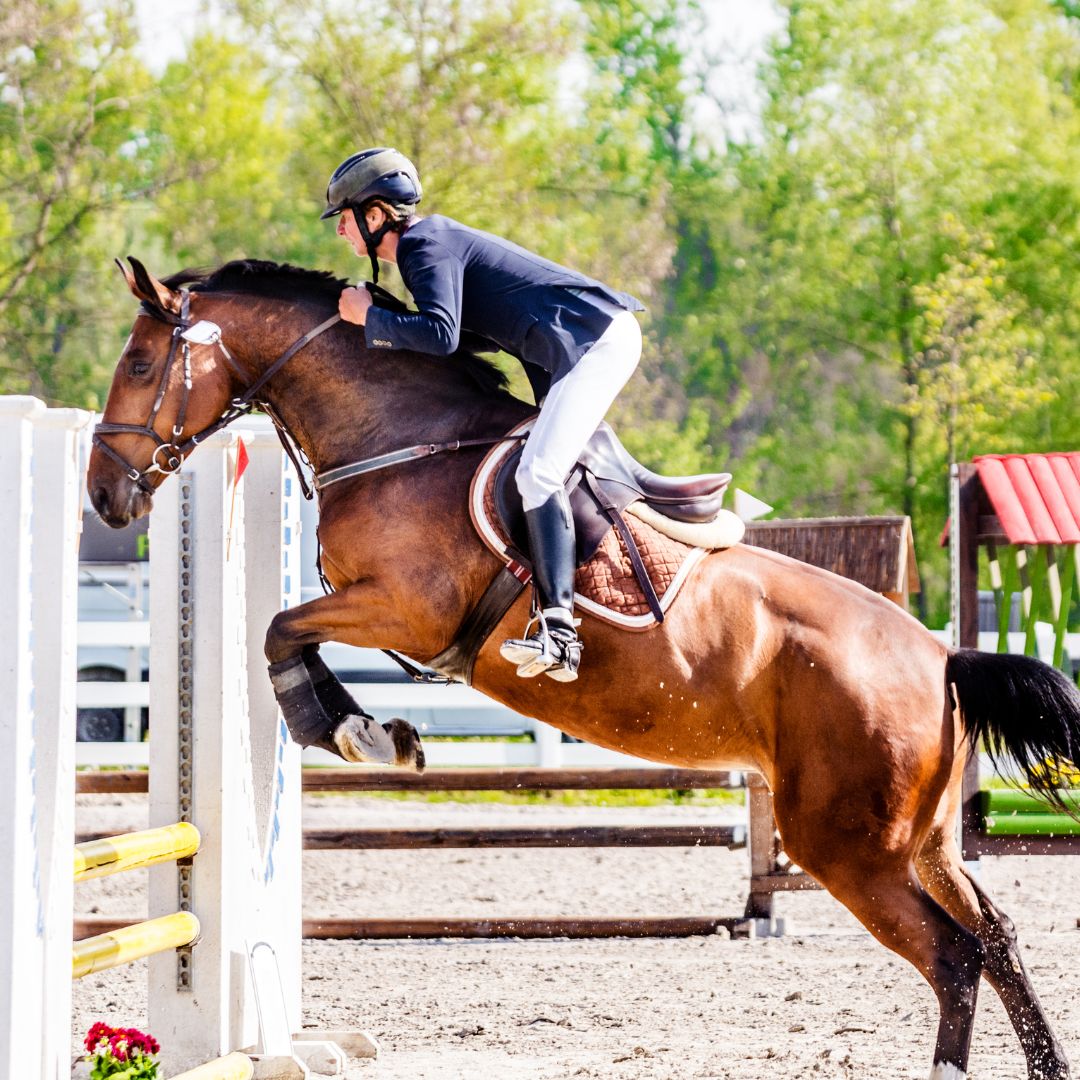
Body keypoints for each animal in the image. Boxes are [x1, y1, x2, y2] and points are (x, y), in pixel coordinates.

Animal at [87, 256, 1080, 1080]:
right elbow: (286, 631)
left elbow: (279, 631)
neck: (398, 439)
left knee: (954, 956)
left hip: (848, 846)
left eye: (137, 365)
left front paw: (354, 730)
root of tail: (941, 654)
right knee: (996, 936)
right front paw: (372, 730)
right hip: (923, 841)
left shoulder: (403, 606)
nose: (103, 497)